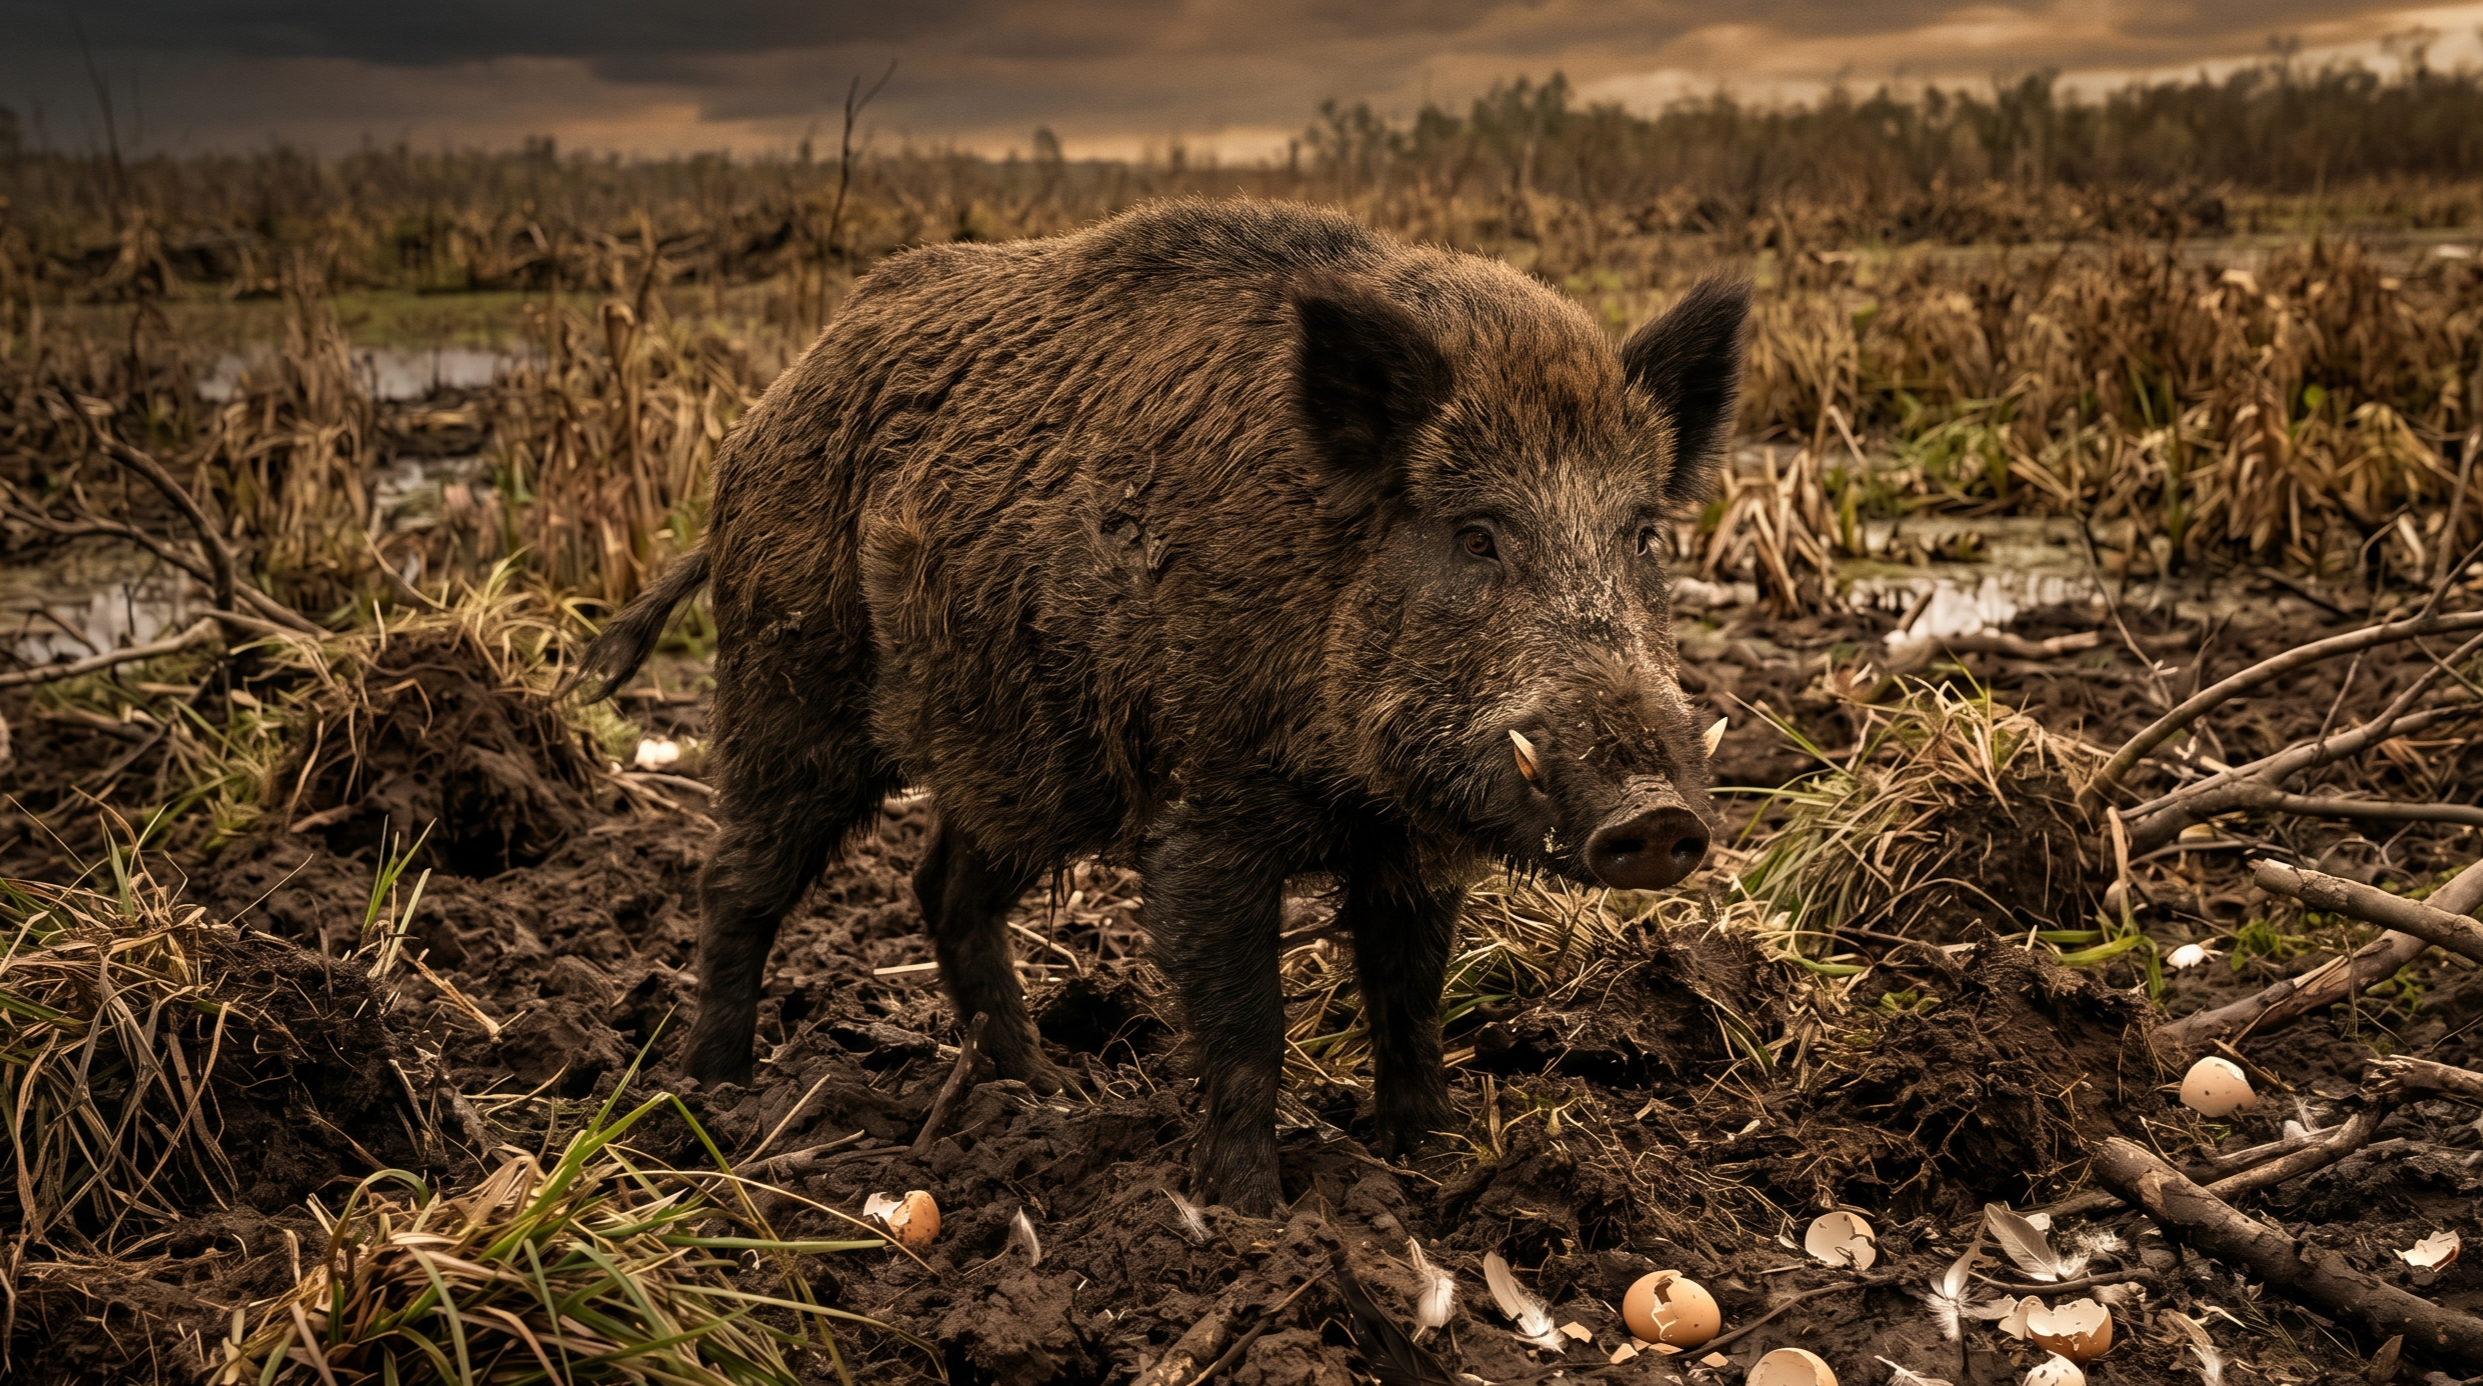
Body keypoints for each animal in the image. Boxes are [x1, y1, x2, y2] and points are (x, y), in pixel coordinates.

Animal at [582, 199, 1745, 1214]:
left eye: (1643, 533)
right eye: (1475, 534)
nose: (1656, 816)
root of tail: (764, 413)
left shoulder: (1411, 846)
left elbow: (1410, 998)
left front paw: (1433, 1161)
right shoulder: (1208, 809)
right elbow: (1247, 1023)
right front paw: (1251, 1213)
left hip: (1021, 753)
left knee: (944, 886)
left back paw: (1042, 1091)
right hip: (789, 685)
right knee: (737, 879)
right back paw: (715, 1095)